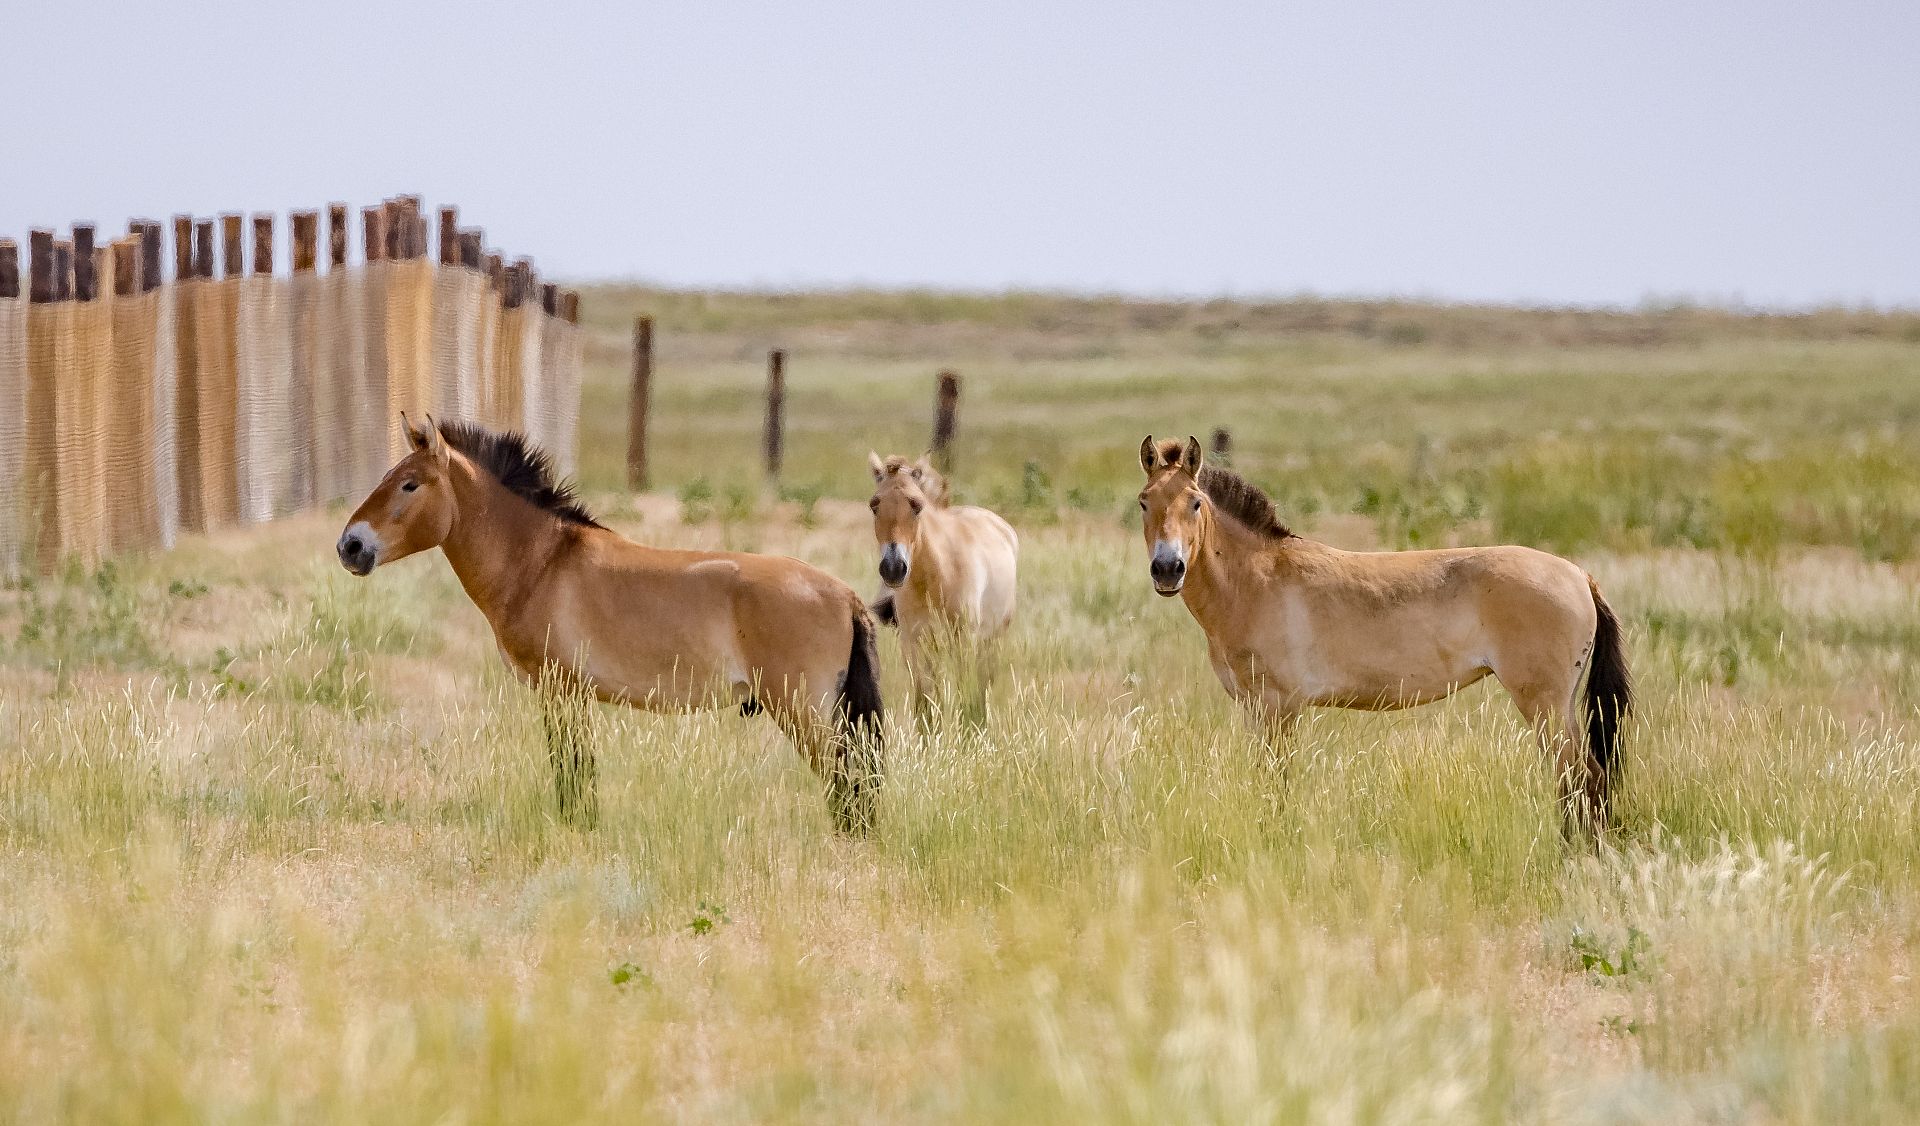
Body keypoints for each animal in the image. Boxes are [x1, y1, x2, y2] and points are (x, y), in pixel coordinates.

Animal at [336, 414, 884, 833]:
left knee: (847, 786)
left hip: (805, 715)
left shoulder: (561, 691)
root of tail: (846, 596)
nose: (350, 546)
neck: (541, 563)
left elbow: (572, 770)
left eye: (409, 484)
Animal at [866, 453, 1018, 719]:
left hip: (990, 642)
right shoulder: (914, 643)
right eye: (874, 505)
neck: (937, 577)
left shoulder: (964, 640)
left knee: (980, 691)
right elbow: (925, 705)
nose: (893, 568)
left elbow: (965, 696)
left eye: (916, 505)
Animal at [1136, 435, 1631, 832]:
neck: (1256, 580)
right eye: (1144, 501)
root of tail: (1579, 575)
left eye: (1195, 502)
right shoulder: (1254, 709)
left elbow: (1278, 783)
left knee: (1581, 779)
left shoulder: (1279, 708)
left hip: (1544, 706)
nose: (1167, 569)